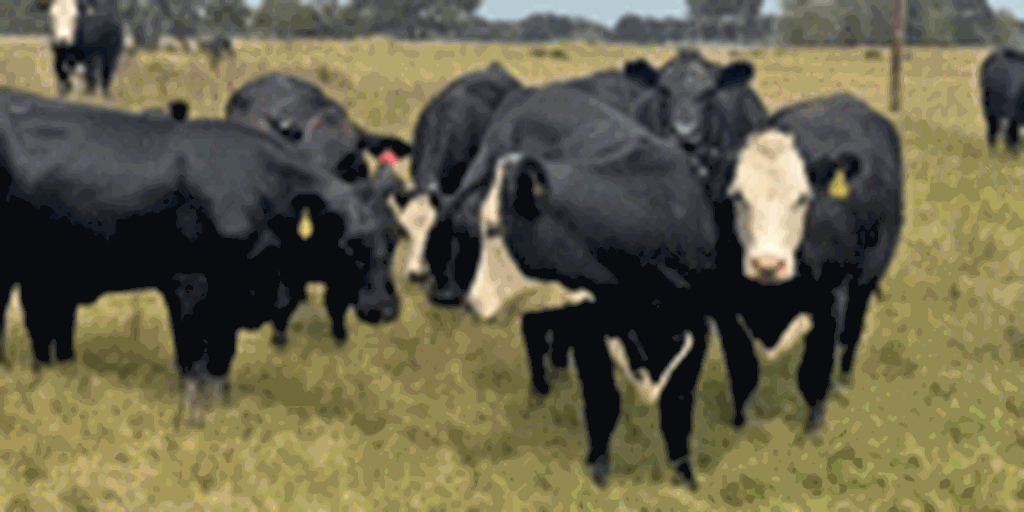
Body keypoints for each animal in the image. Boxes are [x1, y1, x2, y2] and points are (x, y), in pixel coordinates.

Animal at [0, 90, 404, 425]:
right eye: (353, 243)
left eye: (396, 236)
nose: (383, 307)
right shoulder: (188, 283)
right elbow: (193, 360)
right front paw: (192, 418)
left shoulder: (231, 294)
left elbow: (221, 360)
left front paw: (222, 411)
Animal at [432, 85, 719, 489]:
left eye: (492, 228)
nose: (471, 302)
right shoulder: (590, 327)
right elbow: (602, 400)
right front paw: (599, 472)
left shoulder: (698, 325)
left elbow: (677, 408)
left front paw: (686, 480)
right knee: (535, 338)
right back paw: (540, 395)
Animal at [706, 93, 904, 433]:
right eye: (737, 197)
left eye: (802, 198)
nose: (767, 264)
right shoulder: (725, 306)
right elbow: (742, 370)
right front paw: (740, 423)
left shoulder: (830, 299)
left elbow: (815, 369)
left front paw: (814, 428)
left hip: (867, 276)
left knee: (852, 331)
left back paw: (844, 380)